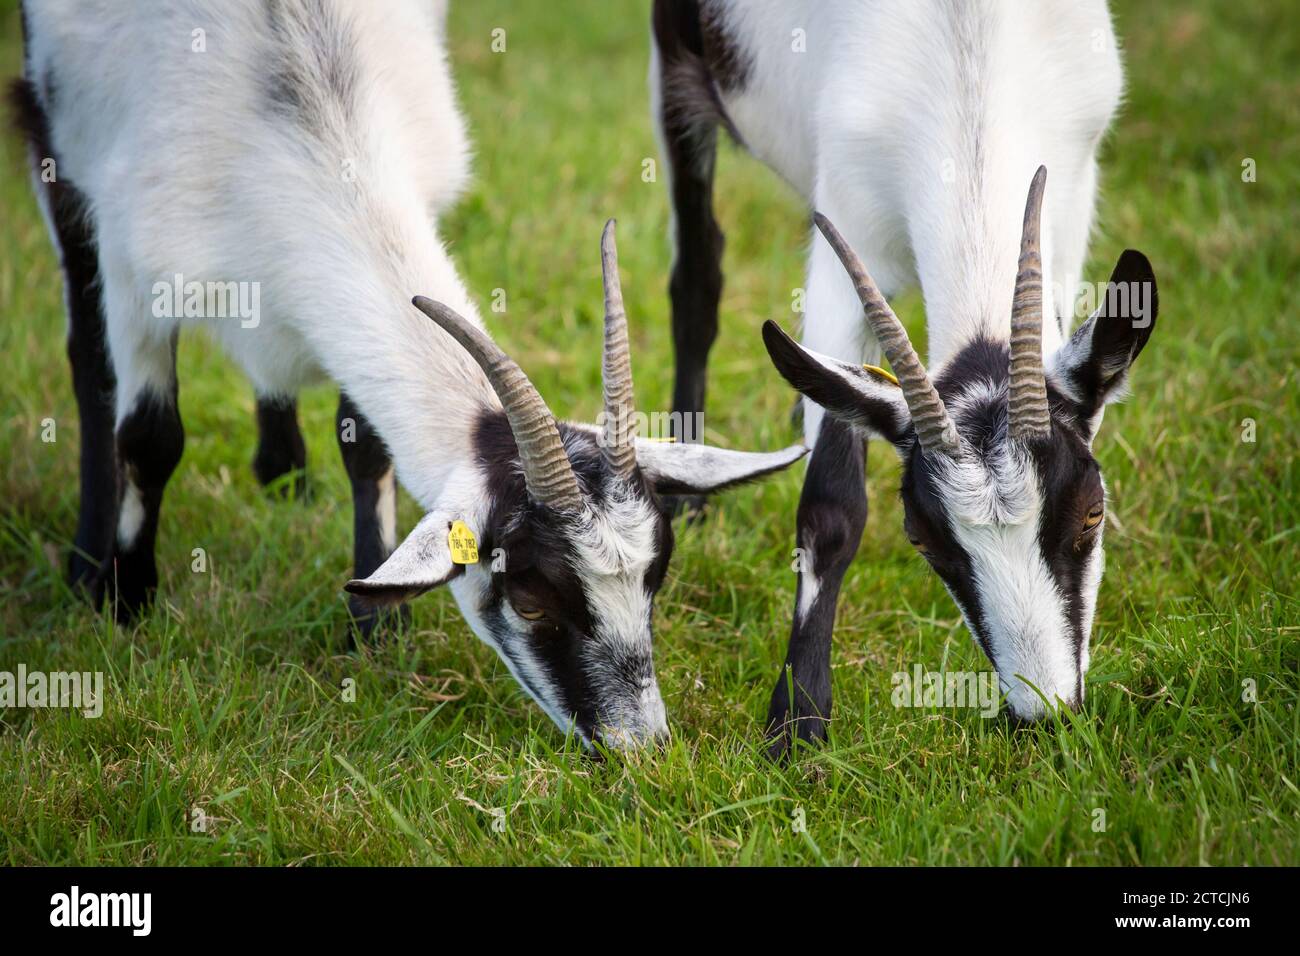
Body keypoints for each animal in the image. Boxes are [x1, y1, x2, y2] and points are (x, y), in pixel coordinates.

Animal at [13, 0, 804, 749]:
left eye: (654, 579)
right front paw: (127, 599)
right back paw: (85, 562)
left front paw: (372, 630)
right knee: (88, 356)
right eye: (528, 597)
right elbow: (151, 436)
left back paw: (283, 472)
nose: (640, 747)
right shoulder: (137, 259)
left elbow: (365, 444)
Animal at [651, 0, 1159, 754]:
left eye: (1093, 511)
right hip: (677, 68)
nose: (1044, 714)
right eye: (923, 538)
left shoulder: (1072, 200)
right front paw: (797, 722)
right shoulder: (848, 230)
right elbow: (831, 508)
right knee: (698, 274)